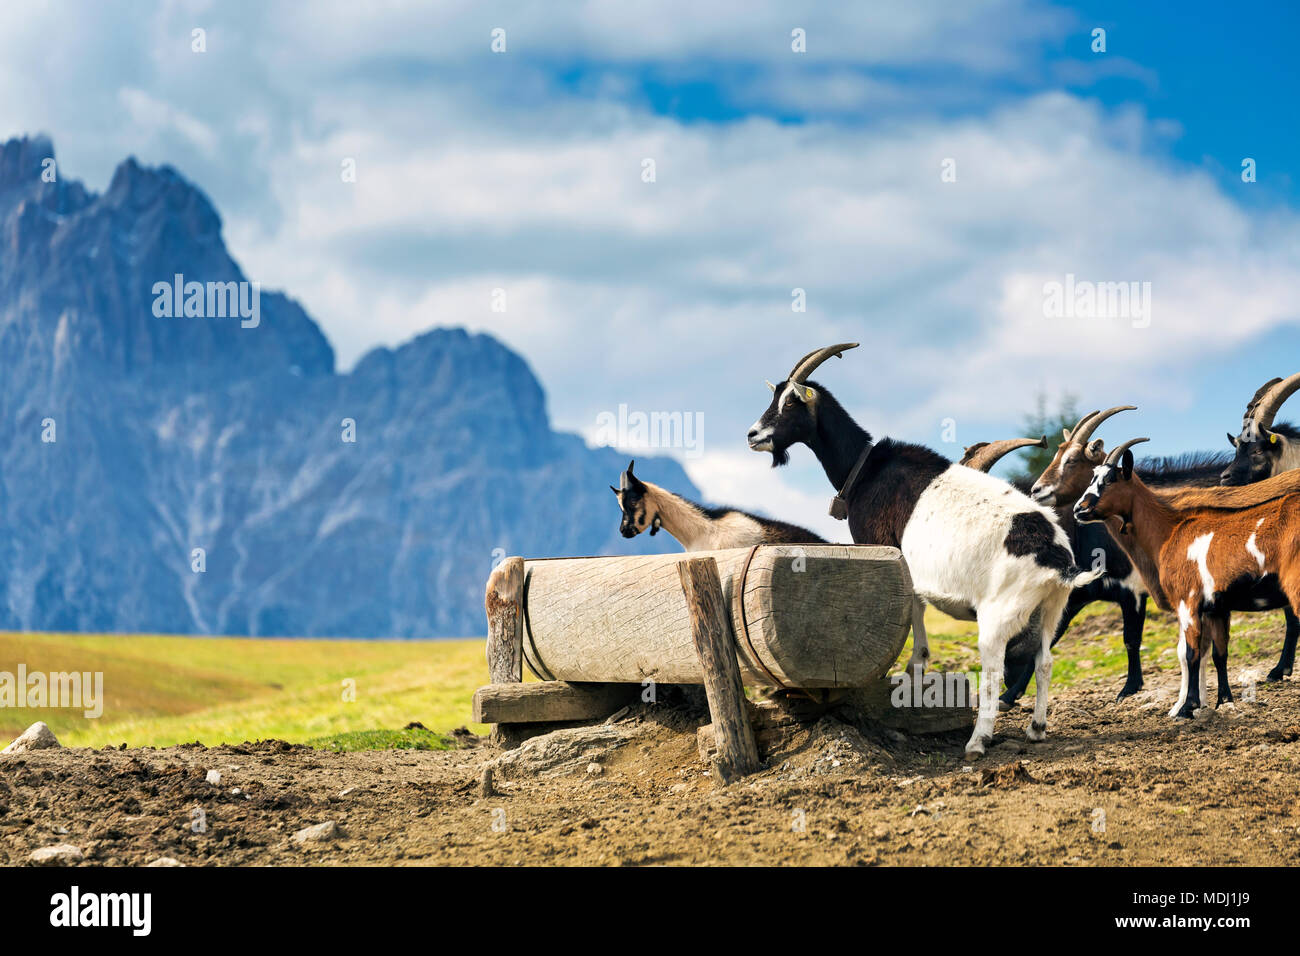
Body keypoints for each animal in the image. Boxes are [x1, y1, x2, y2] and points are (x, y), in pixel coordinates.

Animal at [746, 343, 1102, 758]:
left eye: (791, 401)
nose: (754, 435)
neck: (864, 470)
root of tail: (1057, 558)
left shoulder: (886, 551)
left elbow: (911, 612)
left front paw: (909, 671)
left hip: (1000, 612)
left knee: (994, 669)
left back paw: (977, 742)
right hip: (1051, 609)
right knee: (1044, 661)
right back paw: (1037, 729)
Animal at [1074, 438, 1300, 718]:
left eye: (1109, 479)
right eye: (1092, 476)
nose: (1079, 509)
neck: (1170, 530)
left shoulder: (1187, 601)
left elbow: (1191, 653)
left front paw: (1187, 707)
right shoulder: (1217, 608)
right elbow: (1219, 653)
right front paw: (1224, 701)